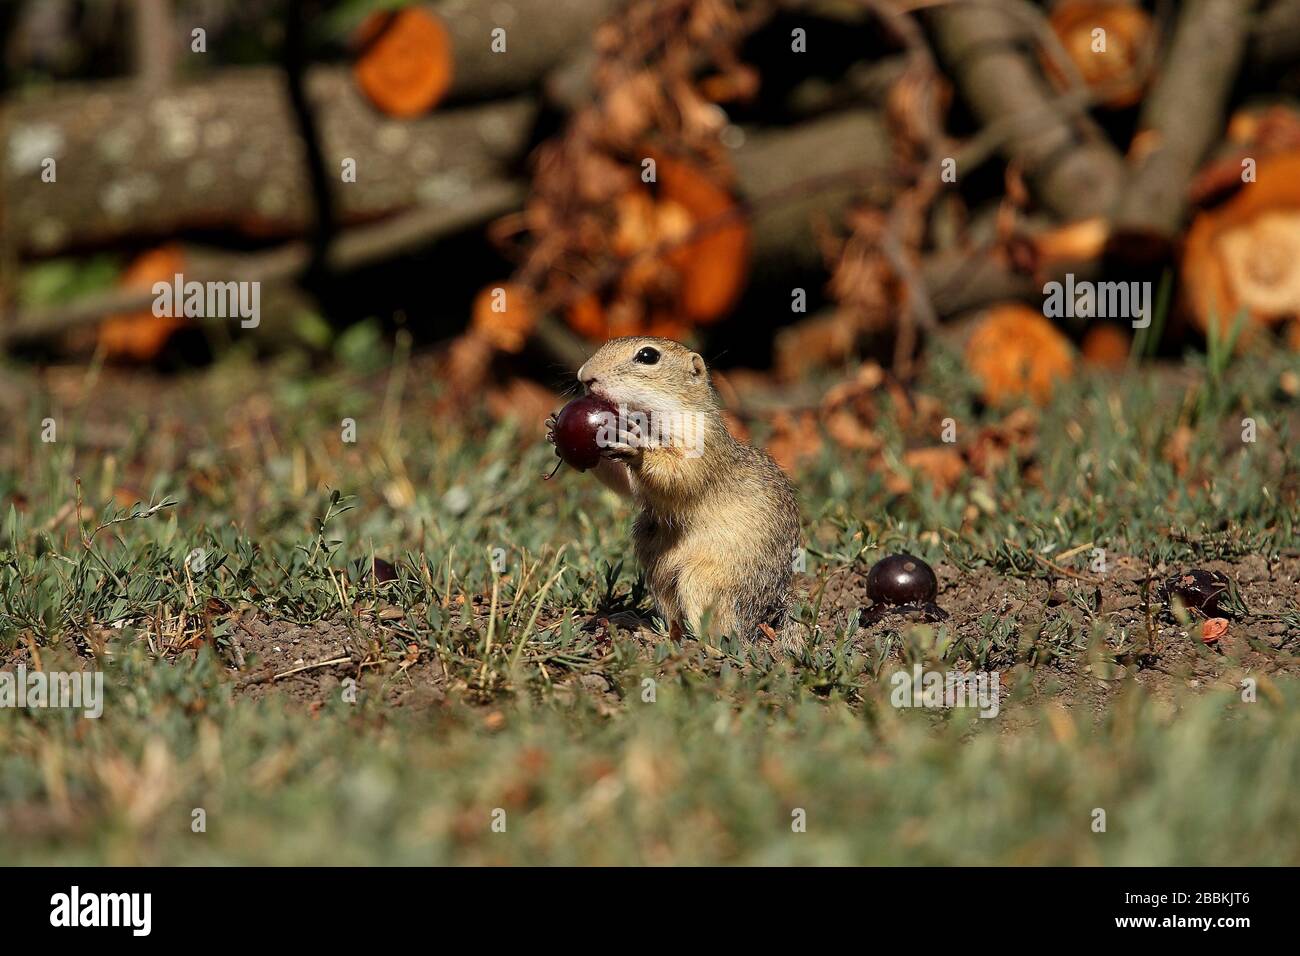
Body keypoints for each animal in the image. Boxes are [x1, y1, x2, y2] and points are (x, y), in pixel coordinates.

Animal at [549, 337, 802, 648]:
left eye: (648, 356)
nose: (585, 376)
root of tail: (764, 613)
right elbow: (626, 484)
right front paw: (554, 432)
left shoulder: (701, 445)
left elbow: (677, 473)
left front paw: (638, 448)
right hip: (660, 573)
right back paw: (641, 625)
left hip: (702, 582)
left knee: (719, 638)